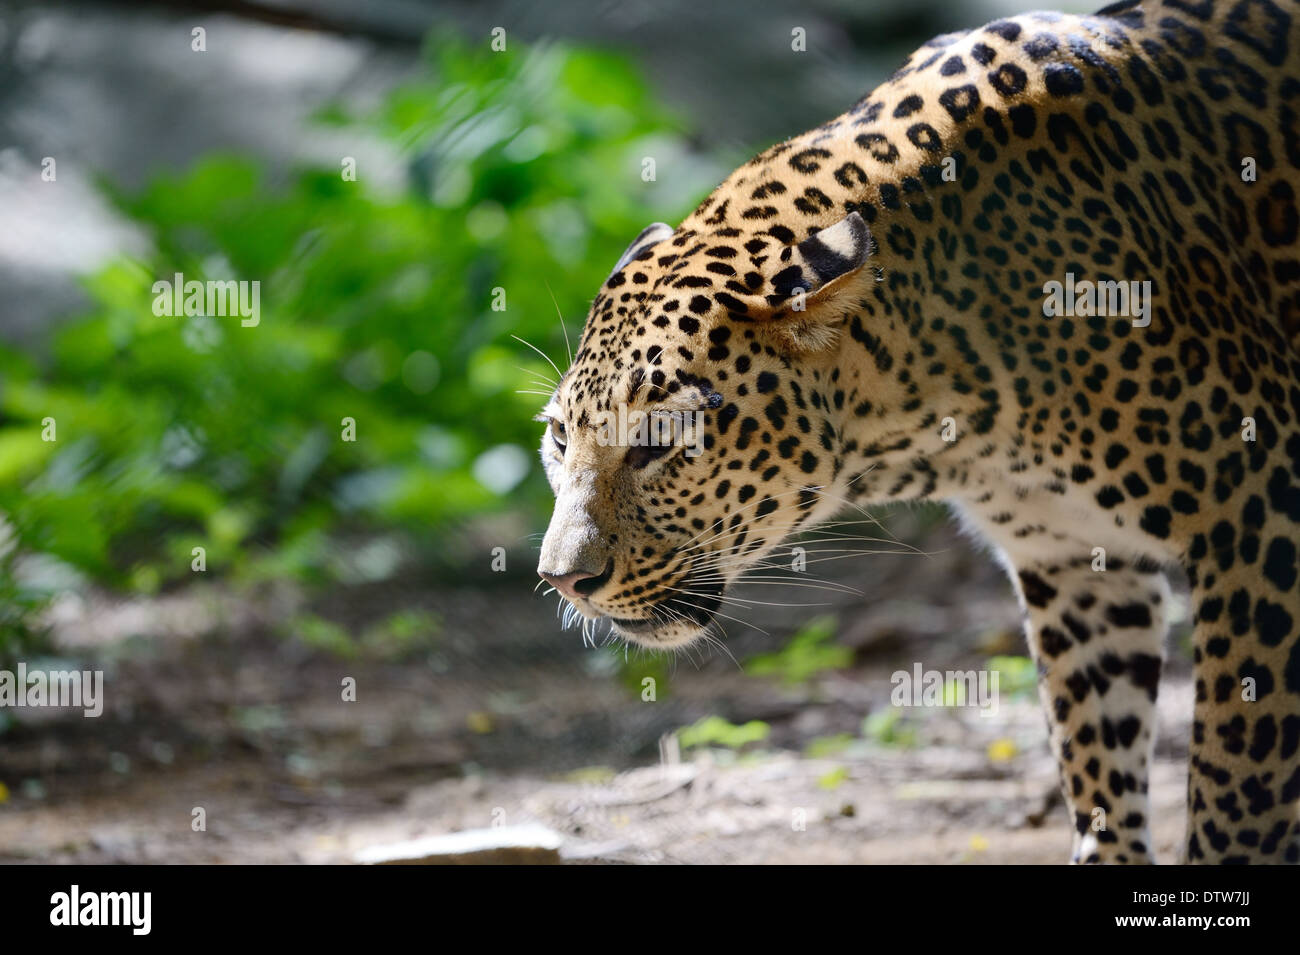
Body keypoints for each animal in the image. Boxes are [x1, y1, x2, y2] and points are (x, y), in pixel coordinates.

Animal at [533, 0, 1300, 864]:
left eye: (662, 439)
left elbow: (1237, 788)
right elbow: (1099, 768)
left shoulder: (1257, 521)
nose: (563, 580)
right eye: (559, 437)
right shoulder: (1072, 559)